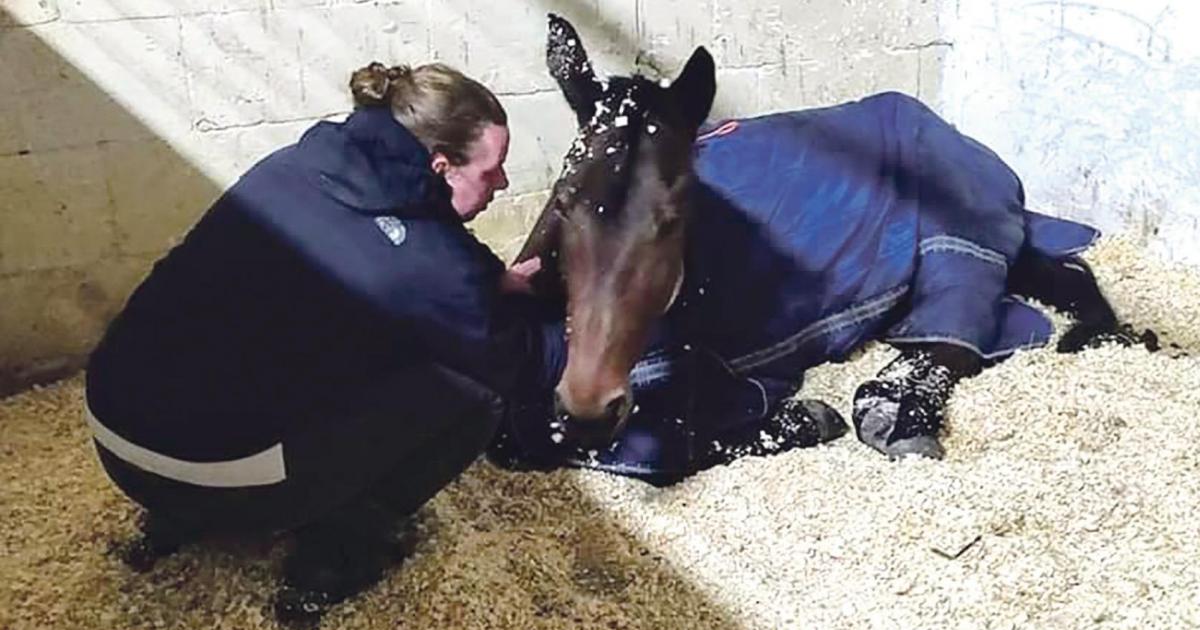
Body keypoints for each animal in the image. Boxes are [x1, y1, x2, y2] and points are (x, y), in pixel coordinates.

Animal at [494, 14, 1156, 485]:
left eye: (675, 213)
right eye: (564, 200)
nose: (588, 404)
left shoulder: (758, 369)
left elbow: (673, 442)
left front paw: (807, 418)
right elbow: (520, 435)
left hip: (961, 244)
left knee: (959, 332)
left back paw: (896, 412)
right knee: (1060, 279)